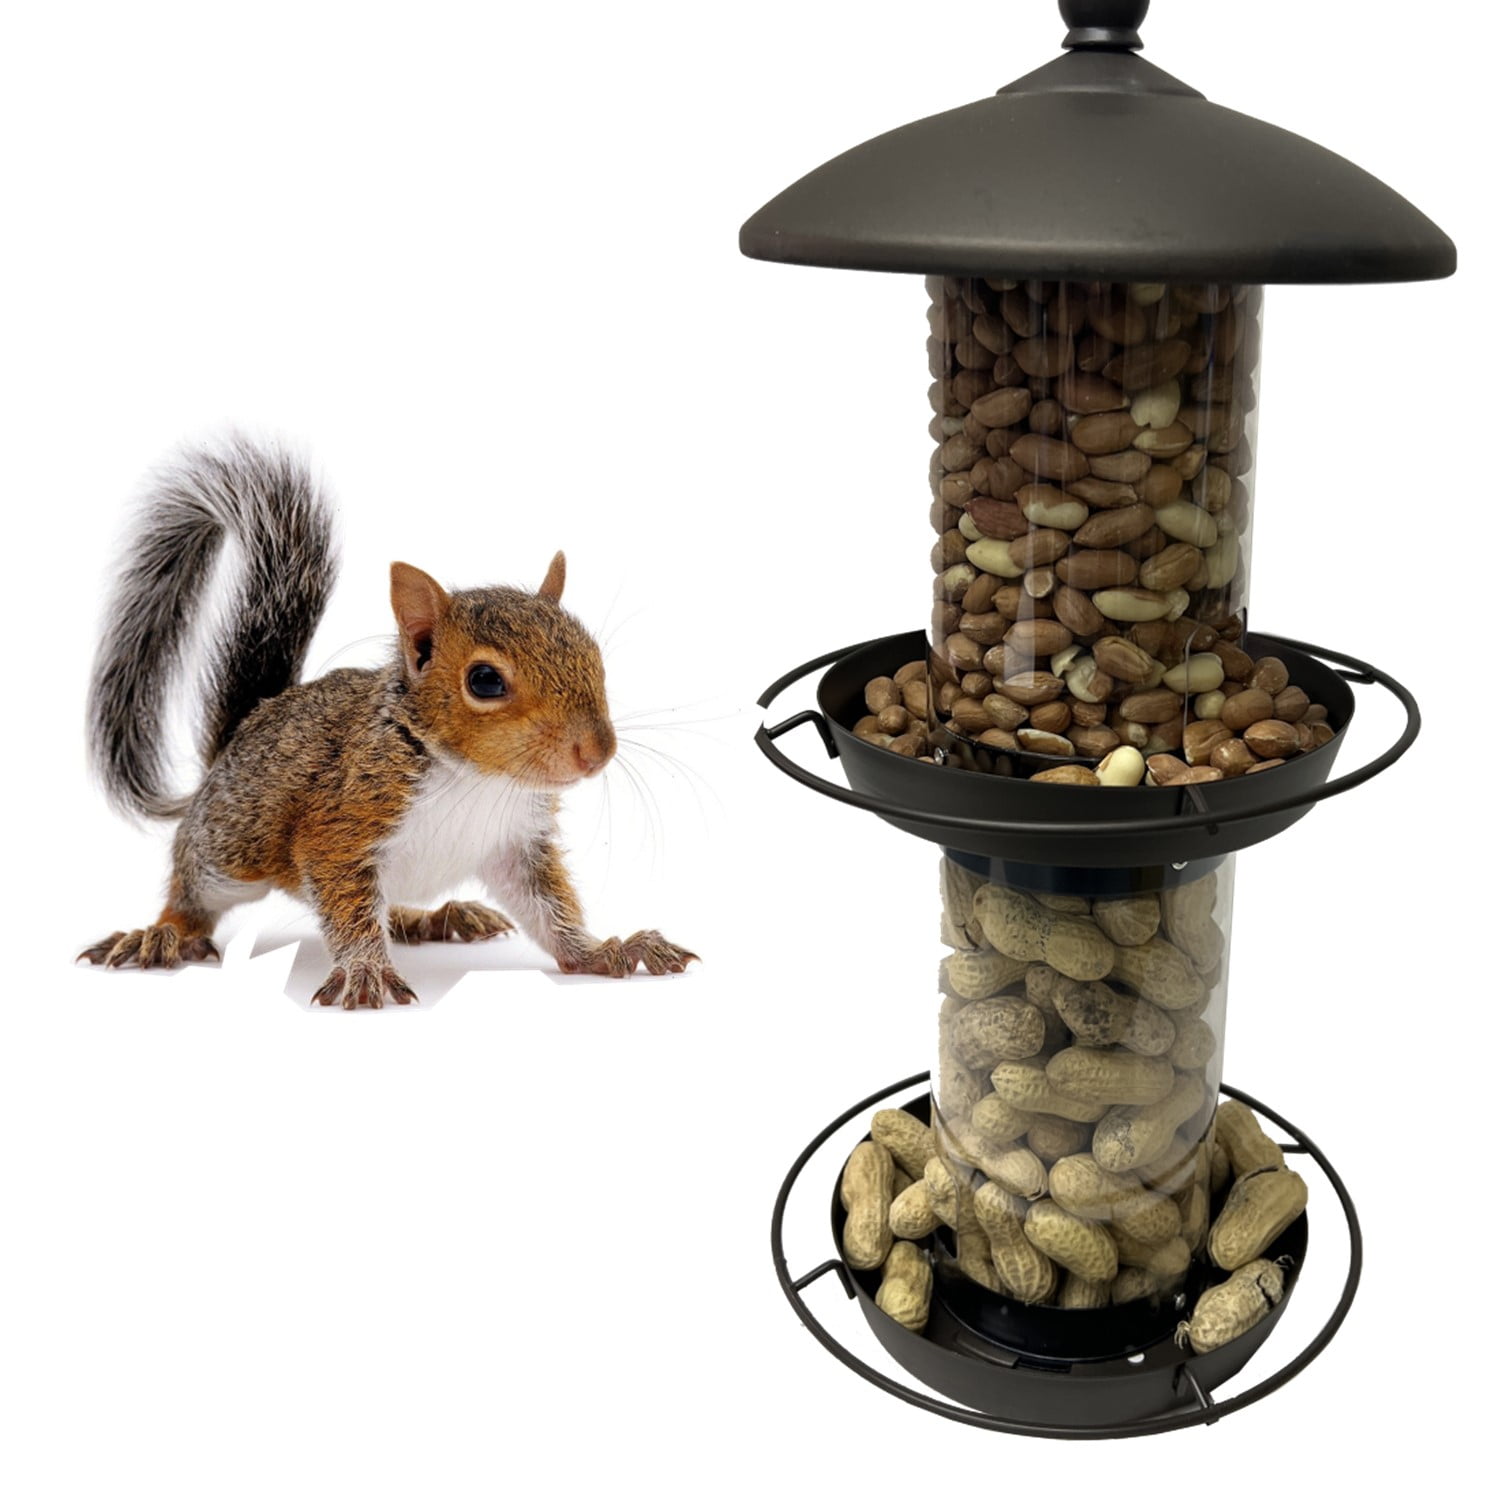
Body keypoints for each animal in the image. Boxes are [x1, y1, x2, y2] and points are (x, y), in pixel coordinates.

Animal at [78, 434, 697, 1007]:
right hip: (233, 846)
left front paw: (602, 950)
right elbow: (348, 907)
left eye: (592, 653)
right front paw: (364, 971)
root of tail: (245, 729)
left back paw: (437, 917)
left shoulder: (516, 845)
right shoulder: (340, 823)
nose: (597, 751)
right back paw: (159, 935)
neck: (476, 779)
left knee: (390, 907)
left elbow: (551, 911)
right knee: (191, 889)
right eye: (485, 681)